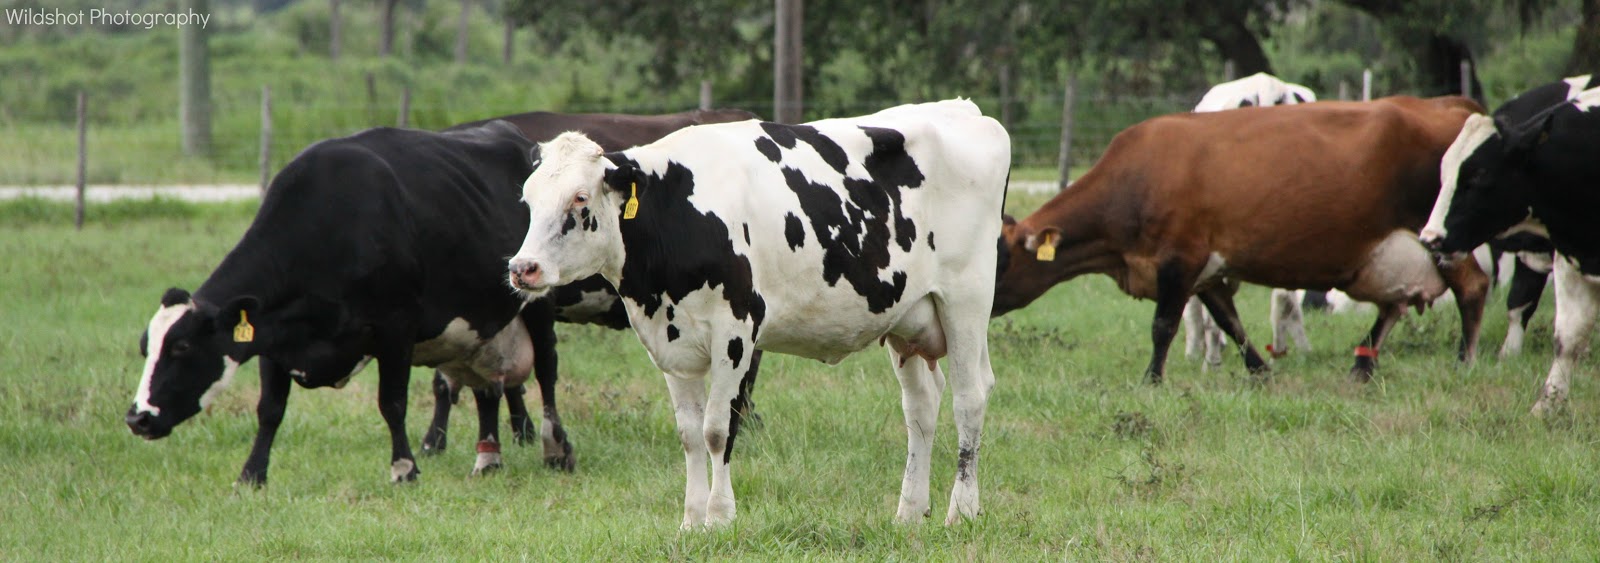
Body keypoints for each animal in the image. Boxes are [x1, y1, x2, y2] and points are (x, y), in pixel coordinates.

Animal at [506, 99, 1010, 527]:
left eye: (580, 198)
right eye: (528, 199)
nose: (522, 267)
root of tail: (964, 109)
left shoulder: (735, 330)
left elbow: (716, 429)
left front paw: (719, 517)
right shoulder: (670, 342)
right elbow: (689, 434)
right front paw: (690, 521)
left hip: (965, 298)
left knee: (970, 397)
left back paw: (961, 511)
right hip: (907, 316)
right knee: (921, 405)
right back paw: (909, 513)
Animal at [1421, 87, 1600, 416]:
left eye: (1478, 177)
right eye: (1444, 174)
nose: (1430, 238)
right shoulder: (1570, 258)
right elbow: (1568, 336)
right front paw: (1547, 406)